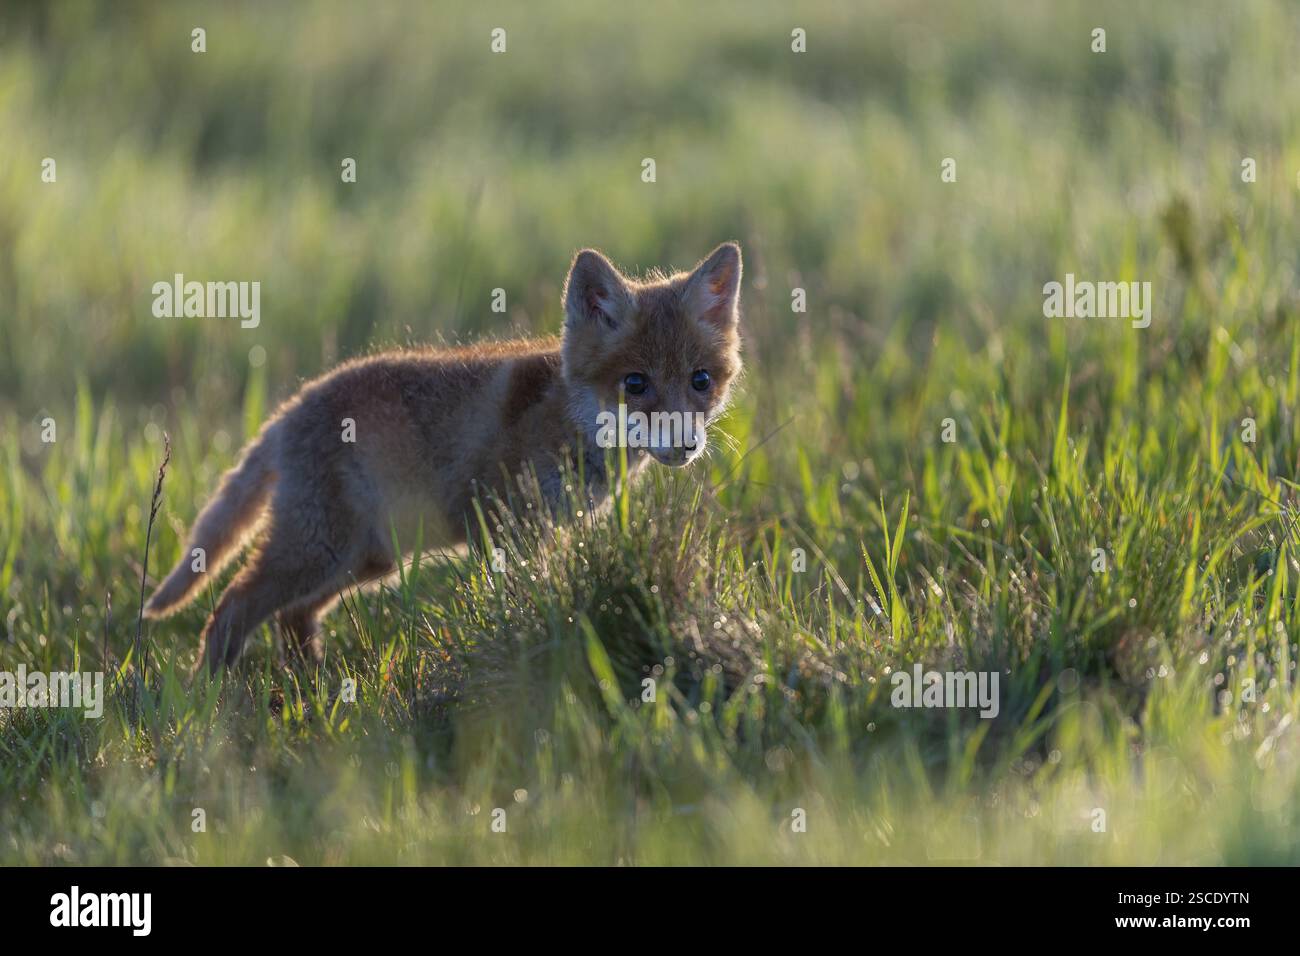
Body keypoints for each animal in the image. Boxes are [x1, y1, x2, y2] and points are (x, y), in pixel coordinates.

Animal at [143, 242, 744, 671]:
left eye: (701, 381)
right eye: (635, 383)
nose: (686, 444)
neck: (563, 420)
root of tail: (289, 408)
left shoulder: (543, 530)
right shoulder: (499, 526)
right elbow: (518, 601)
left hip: (364, 559)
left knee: (292, 617)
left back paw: (311, 692)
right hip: (317, 550)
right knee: (230, 610)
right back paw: (212, 705)